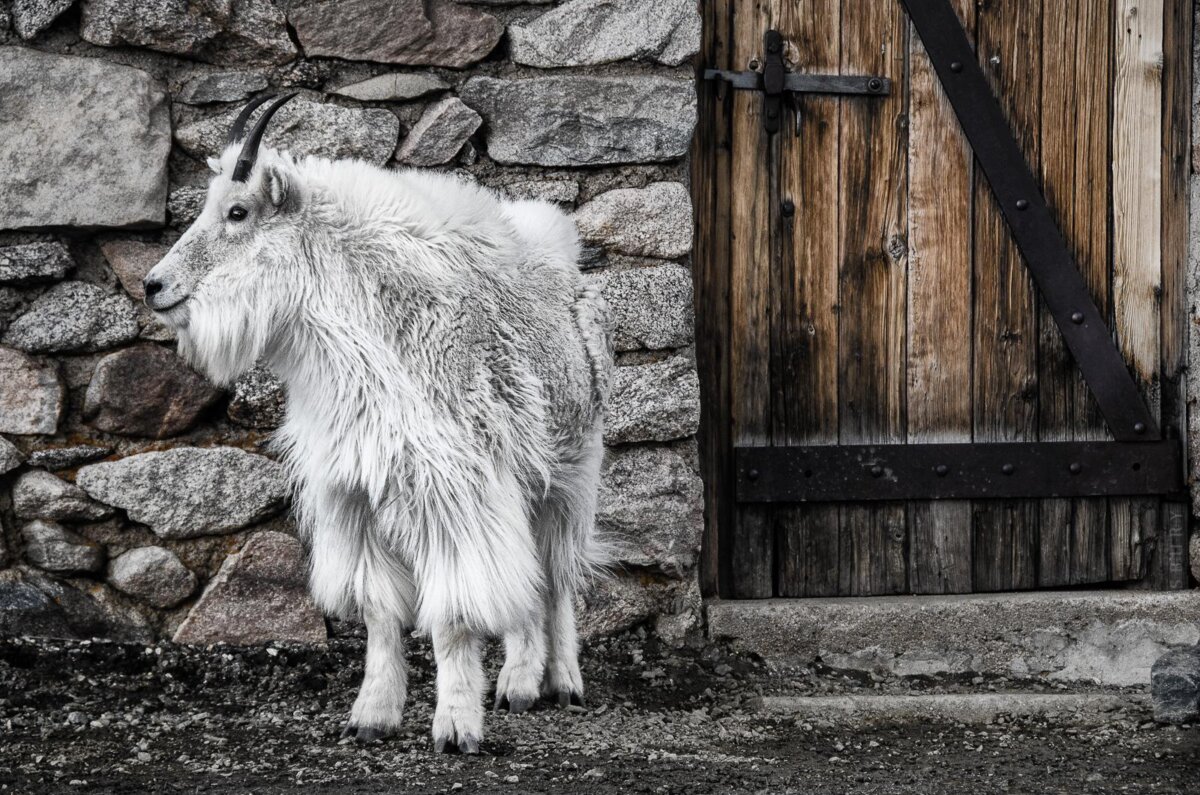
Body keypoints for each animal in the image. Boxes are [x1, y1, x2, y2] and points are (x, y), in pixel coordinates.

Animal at [144, 94, 613, 752]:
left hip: (573, 469)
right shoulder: (355, 492)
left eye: (237, 211)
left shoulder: (453, 490)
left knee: (558, 575)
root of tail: (569, 262)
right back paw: (517, 686)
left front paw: (456, 727)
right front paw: (371, 716)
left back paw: (559, 682)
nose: (153, 286)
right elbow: (378, 609)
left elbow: (455, 612)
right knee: (529, 581)